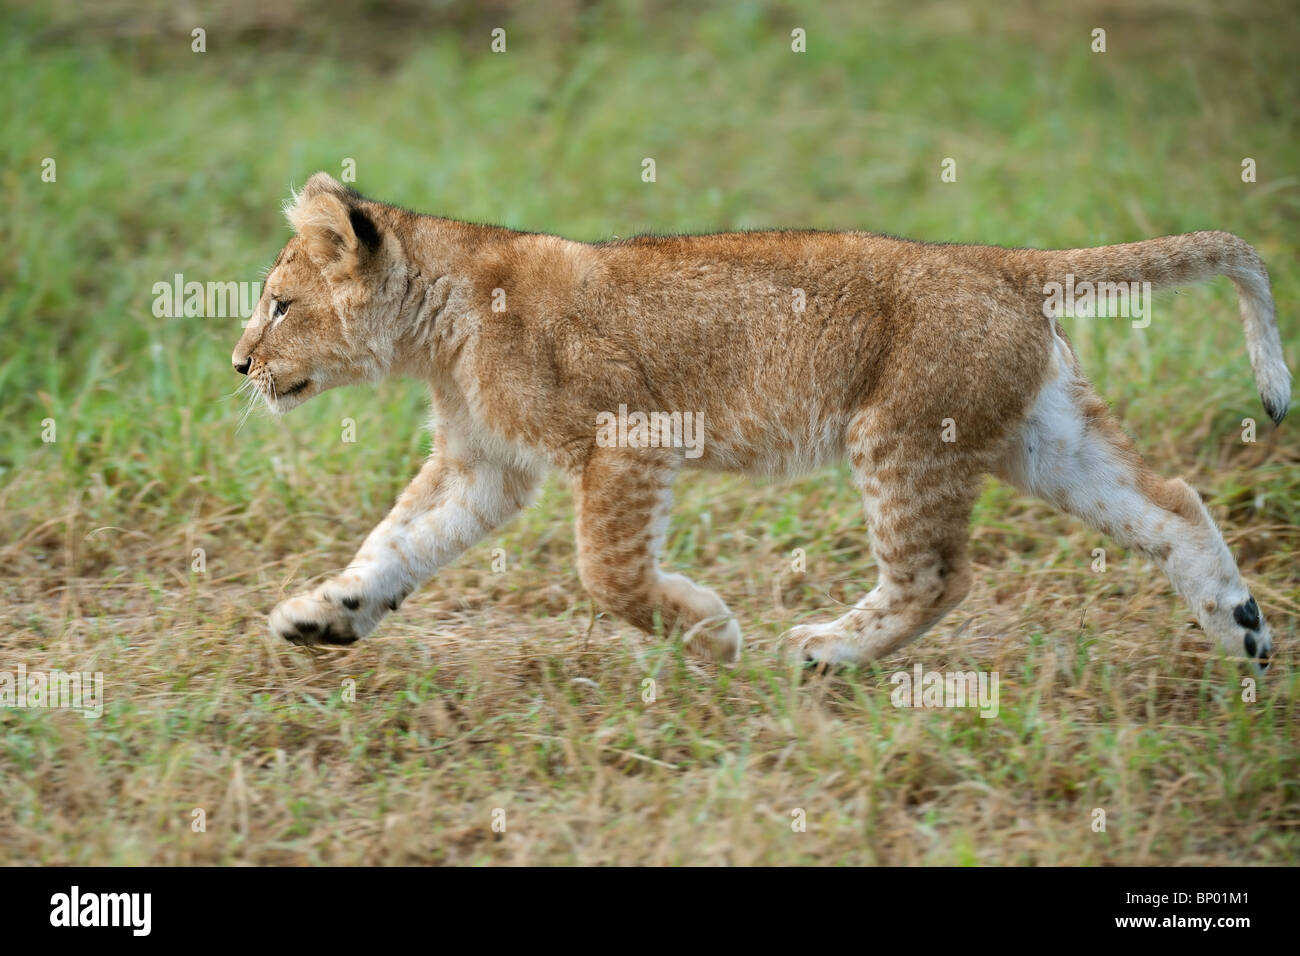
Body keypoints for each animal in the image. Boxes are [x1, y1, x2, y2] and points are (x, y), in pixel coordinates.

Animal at [232, 172, 1289, 672]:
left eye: (279, 305)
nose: (239, 365)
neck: (440, 325)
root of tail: (1001, 261)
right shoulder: (481, 465)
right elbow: (395, 545)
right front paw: (325, 618)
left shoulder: (629, 437)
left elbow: (607, 571)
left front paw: (709, 636)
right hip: (1040, 437)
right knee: (1171, 501)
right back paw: (1242, 632)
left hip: (898, 436)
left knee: (939, 576)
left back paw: (824, 650)